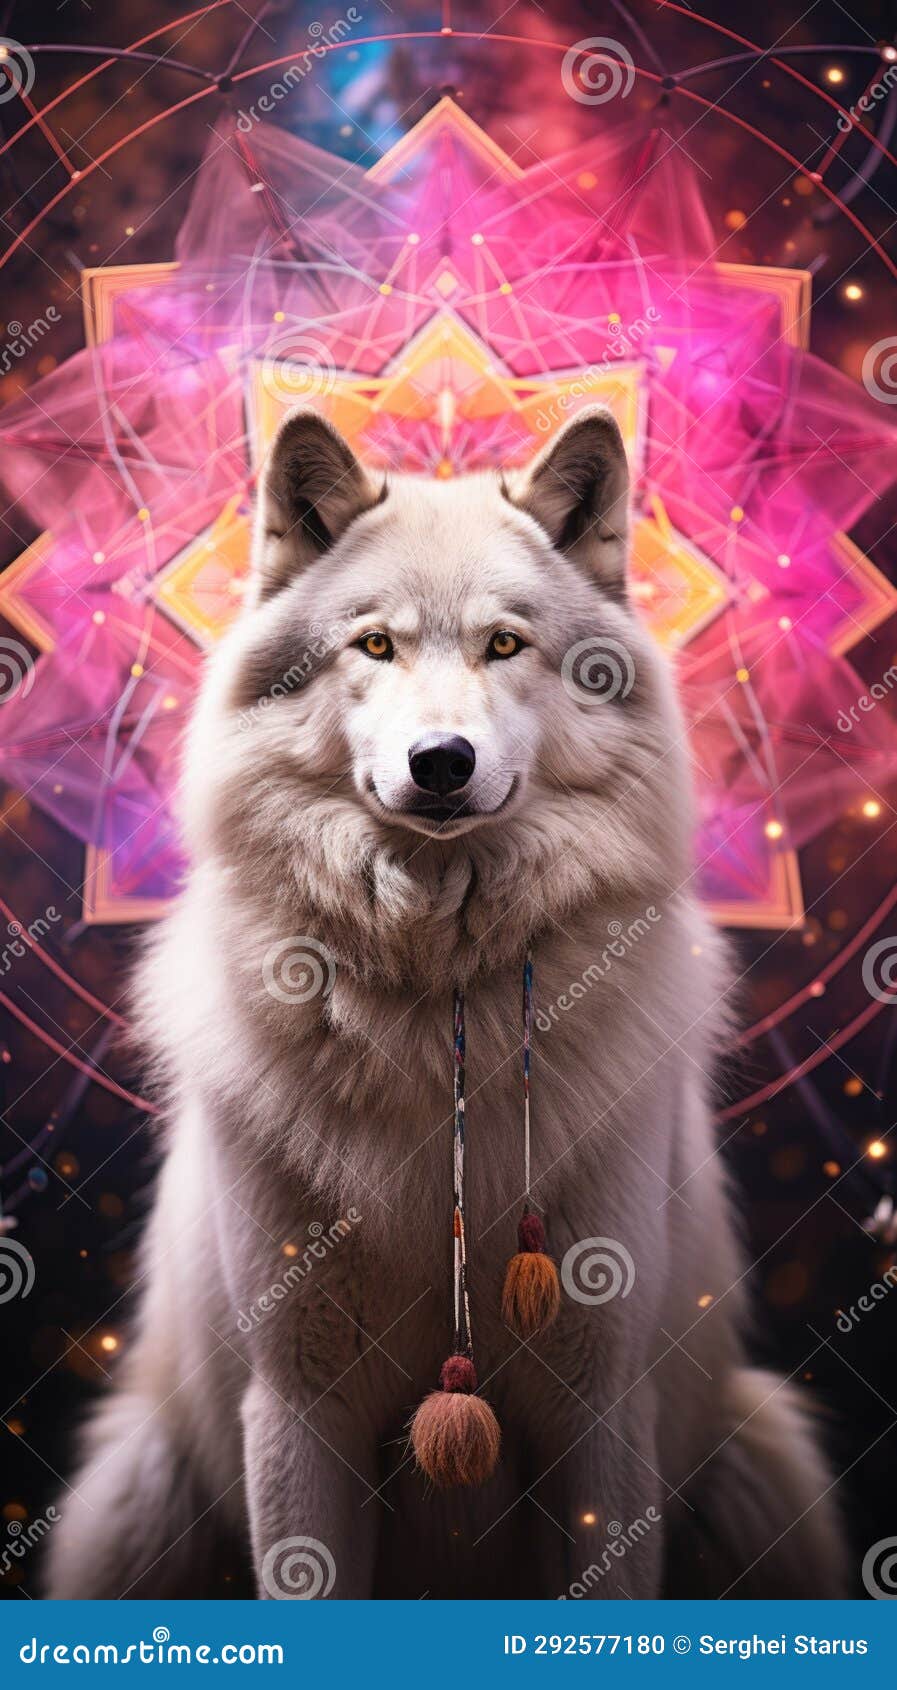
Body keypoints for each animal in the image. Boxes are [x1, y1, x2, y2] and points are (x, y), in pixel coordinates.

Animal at [46, 405, 845, 1599]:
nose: (440, 763)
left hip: (764, 1459)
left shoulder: (600, 1408)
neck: (439, 1016)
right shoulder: (298, 1408)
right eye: (375, 645)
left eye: (504, 645)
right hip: (137, 1500)